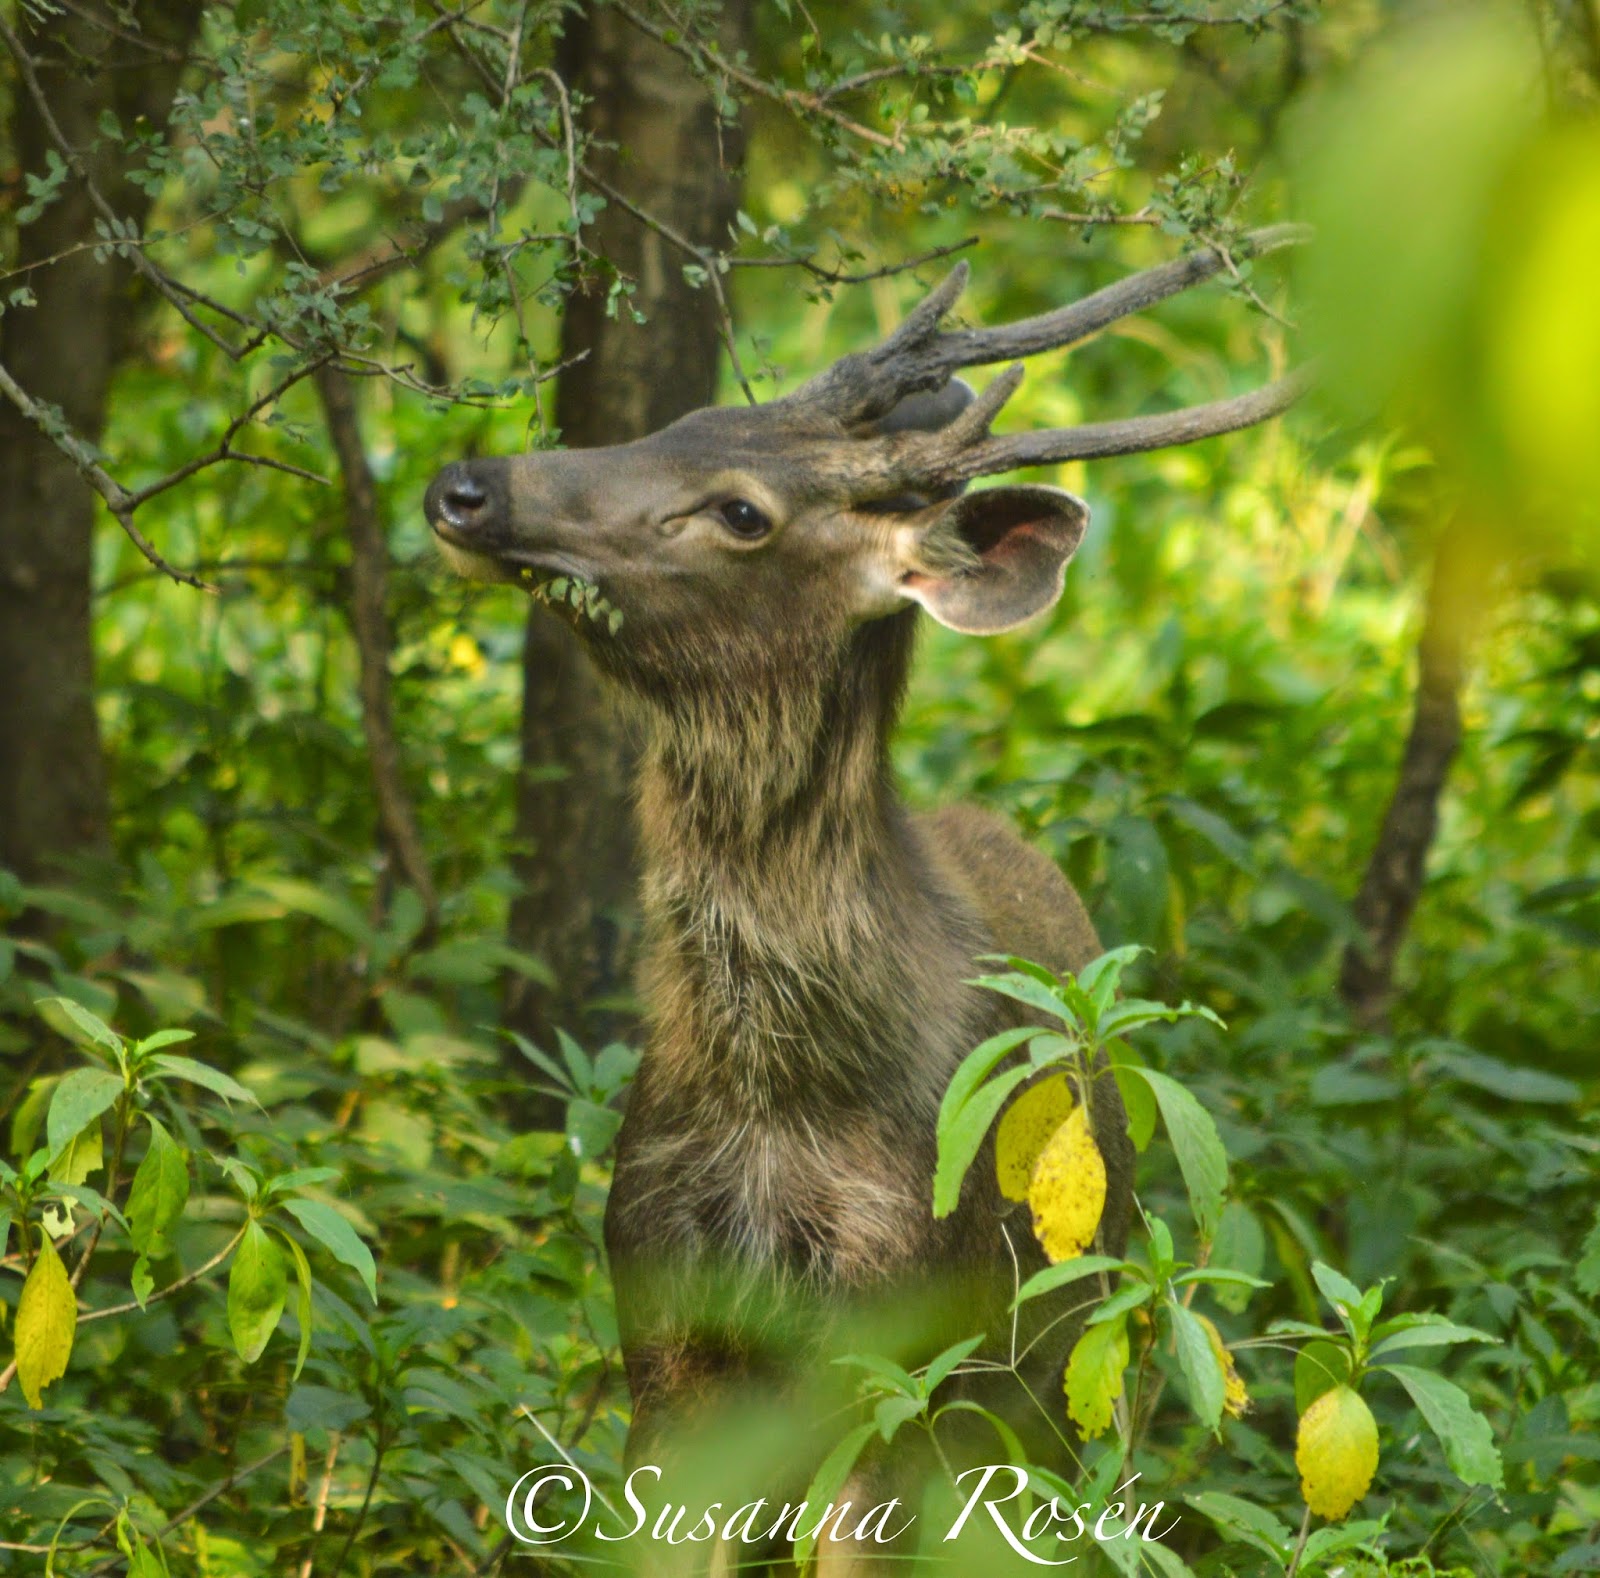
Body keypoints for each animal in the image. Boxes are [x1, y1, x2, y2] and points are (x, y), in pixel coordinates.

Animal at [426, 226, 1304, 1572]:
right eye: (677, 417)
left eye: (742, 510)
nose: (467, 484)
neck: (779, 1099)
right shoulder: (658, 1326)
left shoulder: (900, 1361)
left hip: (1060, 1384)